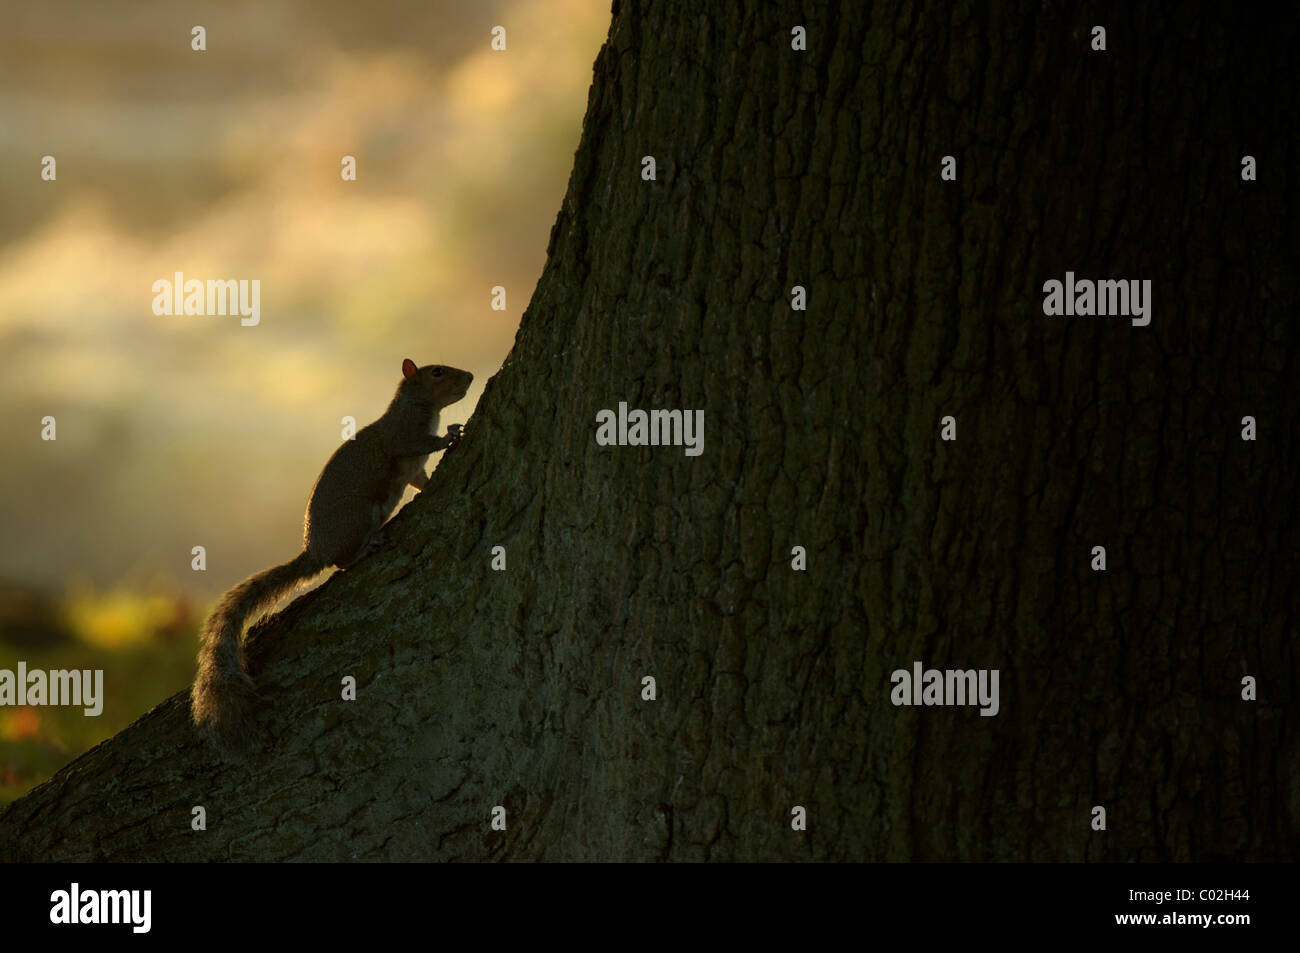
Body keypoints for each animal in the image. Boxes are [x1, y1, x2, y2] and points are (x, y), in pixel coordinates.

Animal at [191, 357, 473, 759]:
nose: (470, 378)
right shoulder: (403, 437)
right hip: (359, 514)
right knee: (342, 562)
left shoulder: (413, 467)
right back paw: (366, 546)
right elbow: (422, 444)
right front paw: (450, 434)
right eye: (437, 372)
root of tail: (315, 550)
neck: (418, 407)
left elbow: (420, 479)